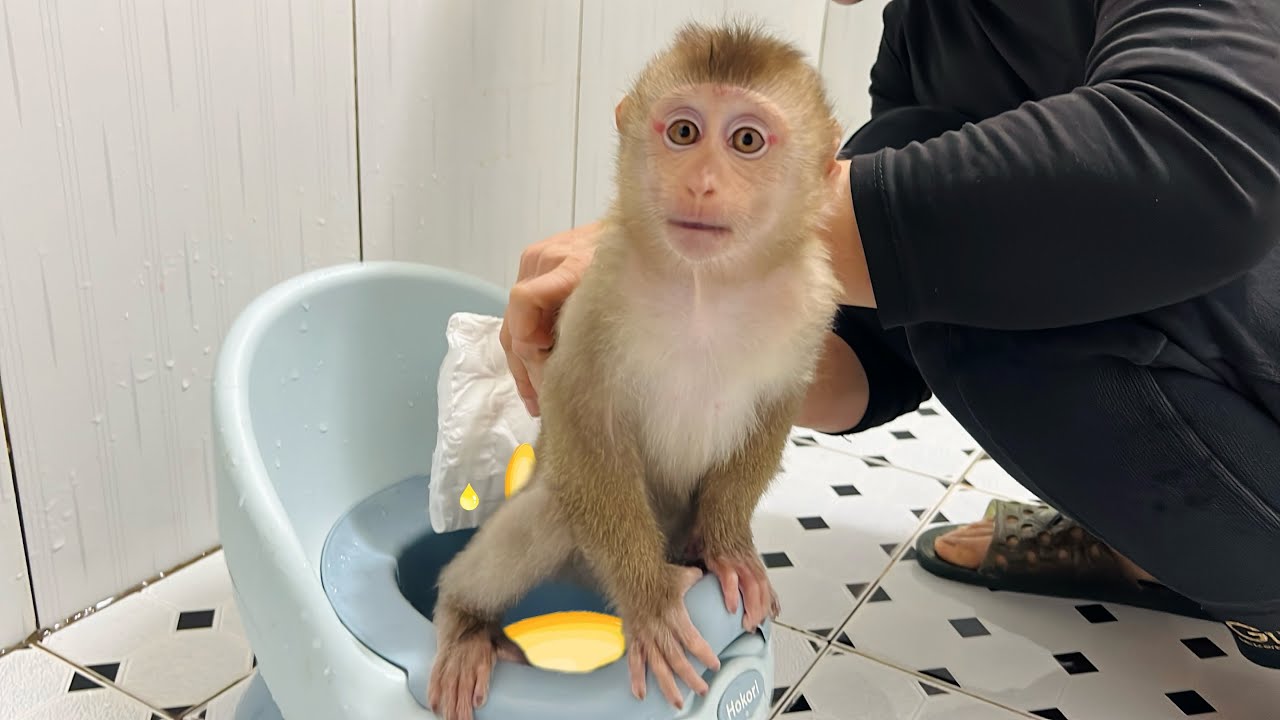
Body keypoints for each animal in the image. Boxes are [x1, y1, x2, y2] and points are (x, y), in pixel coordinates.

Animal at [427, 20, 845, 720]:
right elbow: (583, 422)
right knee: (554, 511)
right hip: (583, 559)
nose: (701, 183)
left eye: (746, 141)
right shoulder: (599, 293)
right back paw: (466, 622)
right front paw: (651, 602)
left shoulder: (812, 305)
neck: (706, 286)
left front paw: (729, 548)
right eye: (684, 132)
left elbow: (777, 410)